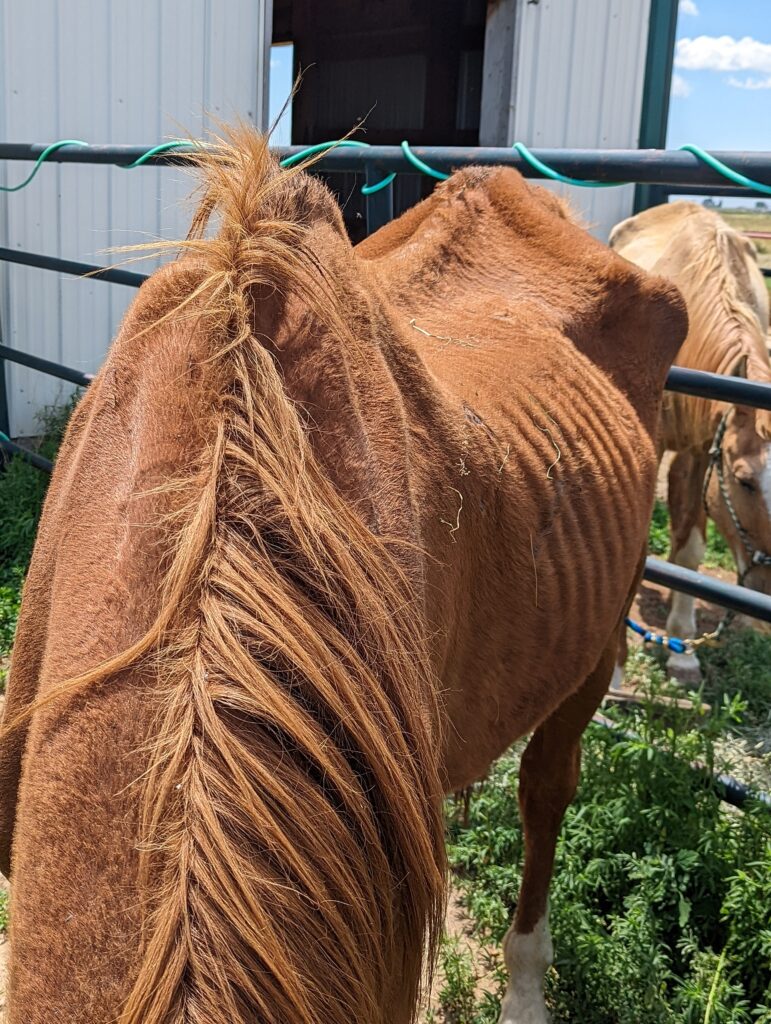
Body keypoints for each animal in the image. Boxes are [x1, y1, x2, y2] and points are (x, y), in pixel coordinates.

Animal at [610, 201, 771, 681]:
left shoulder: (701, 453)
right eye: (744, 482)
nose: (765, 589)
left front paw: (683, 649)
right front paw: (617, 668)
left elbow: (689, 550)